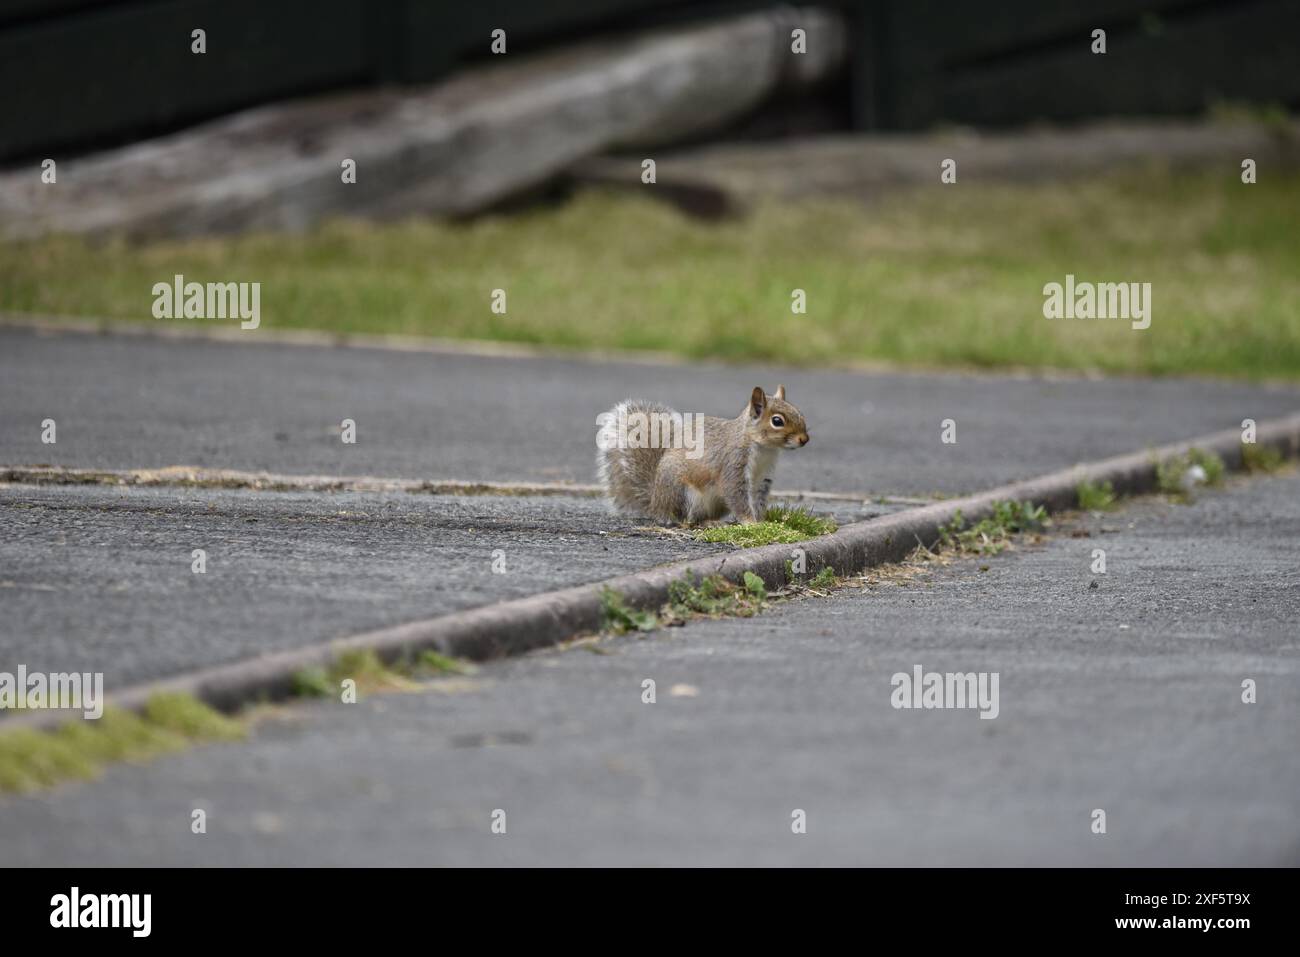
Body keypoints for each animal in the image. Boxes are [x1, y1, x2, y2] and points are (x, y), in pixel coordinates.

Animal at [597, 385, 810, 525]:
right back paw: (700, 524)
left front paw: (762, 522)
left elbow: (758, 500)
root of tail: (655, 503)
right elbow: (737, 496)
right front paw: (751, 523)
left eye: (800, 413)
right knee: (685, 519)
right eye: (777, 421)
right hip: (682, 492)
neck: (764, 449)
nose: (804, 439)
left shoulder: (764, 477)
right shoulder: (733, 464)